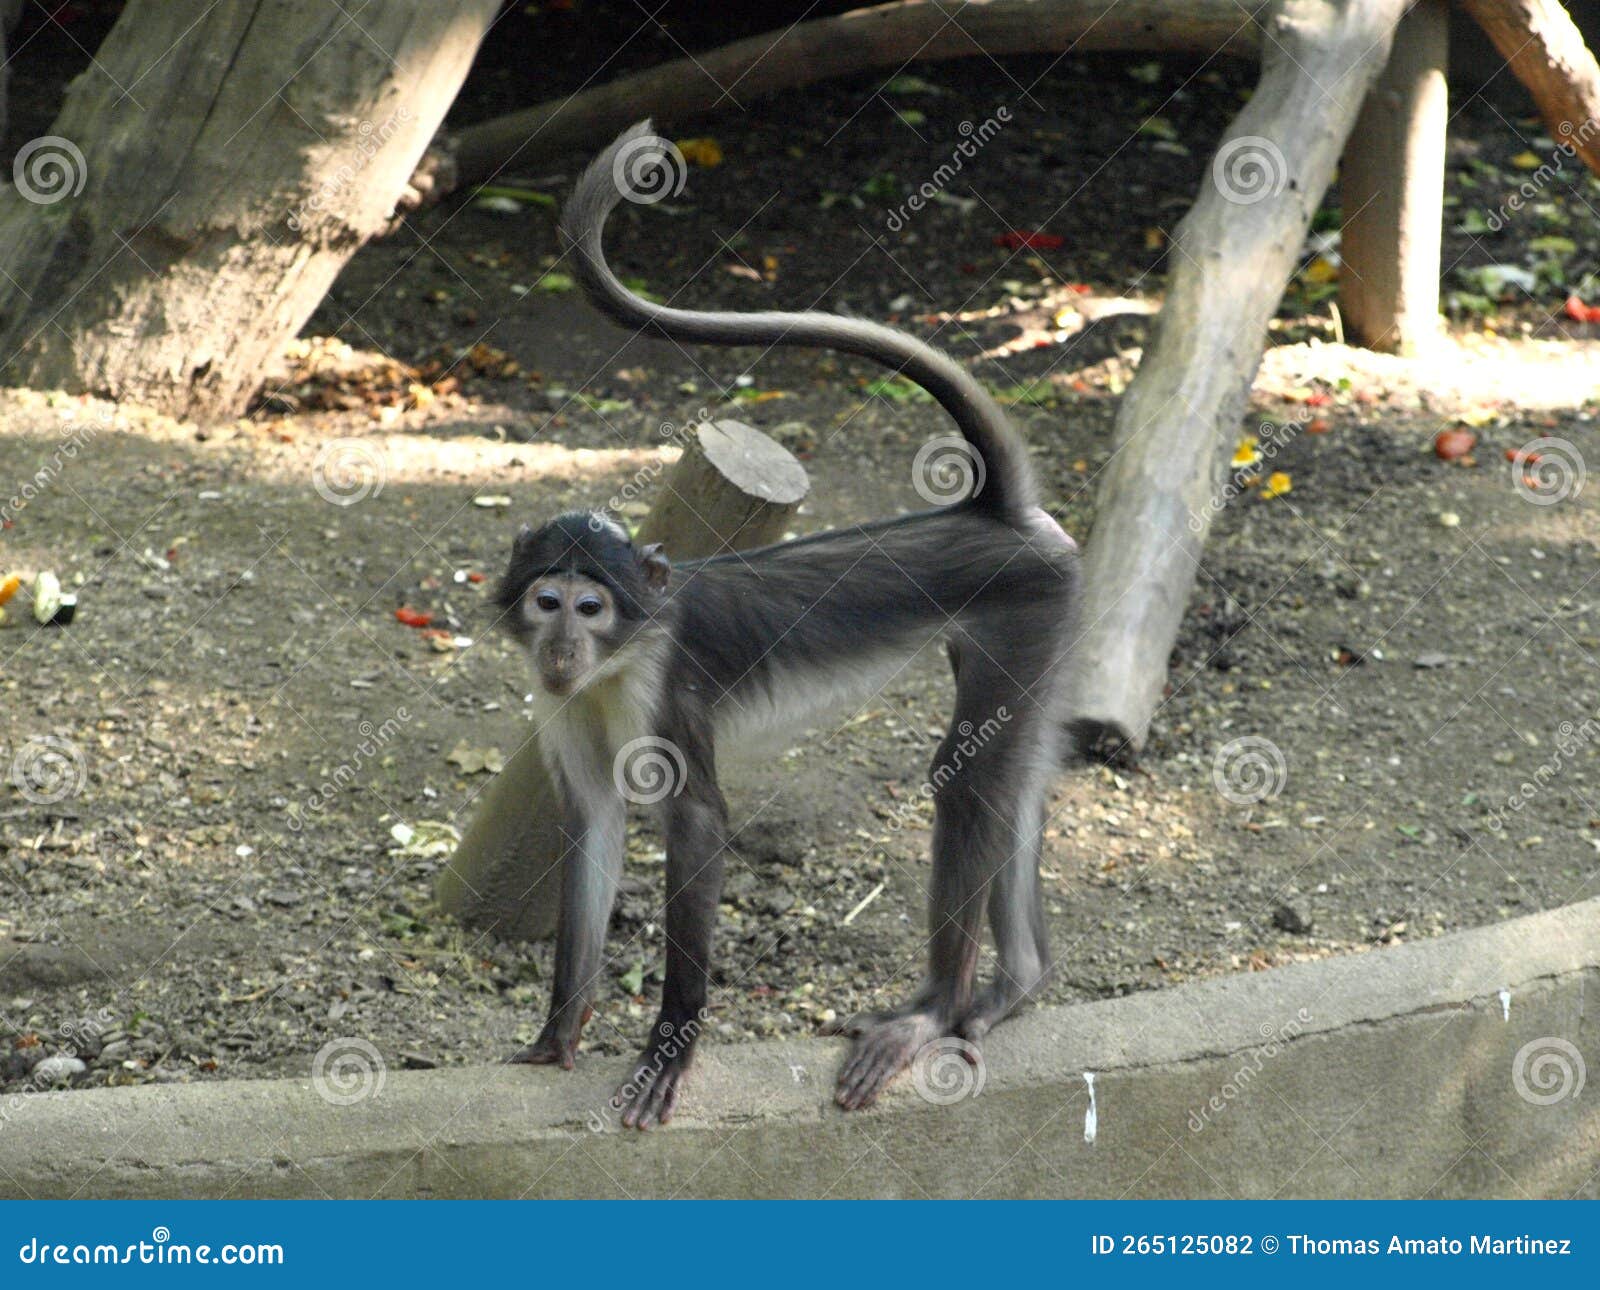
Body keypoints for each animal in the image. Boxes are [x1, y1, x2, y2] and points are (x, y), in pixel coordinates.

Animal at [494, 121, 1079, 1129]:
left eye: (591, 607)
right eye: (547, 603)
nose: (564, 644)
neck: (612, 664)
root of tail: (996, 514)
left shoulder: (658, 681)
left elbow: (698, 823)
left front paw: (669, 1051)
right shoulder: (560, 698)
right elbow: (594, 821)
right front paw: (556, 1036)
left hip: (1029, 611)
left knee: (967, 778)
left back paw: (934, 1013)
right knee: (1014, 775)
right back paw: (1012, 987)